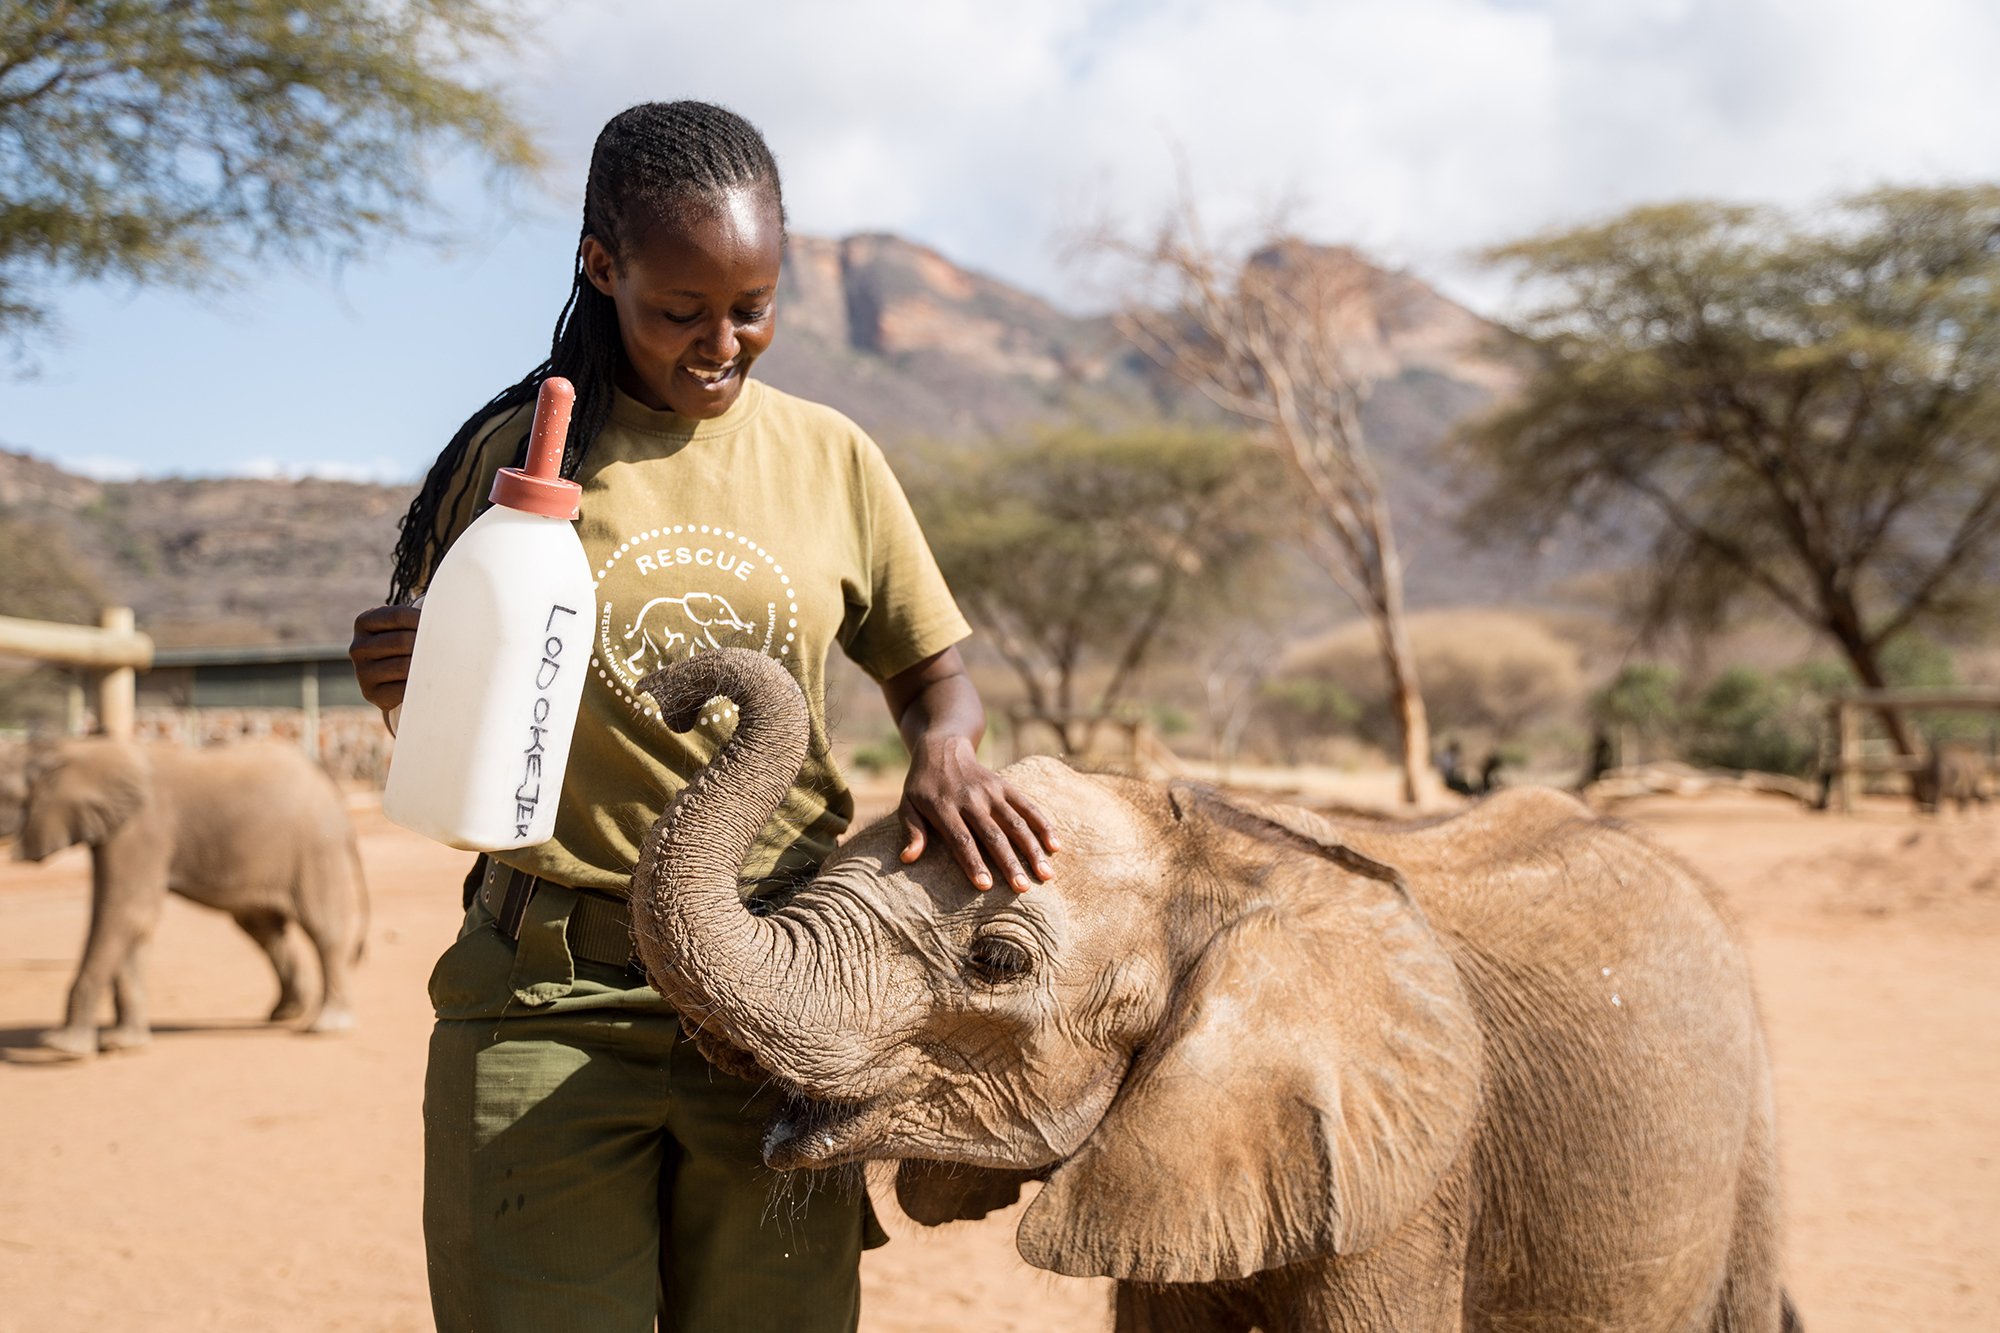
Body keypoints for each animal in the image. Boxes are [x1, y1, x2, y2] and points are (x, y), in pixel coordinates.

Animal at [15, 737, 368, 1059]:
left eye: (11, 797)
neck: (80, 749)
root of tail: (338, 803)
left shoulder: (142, 828)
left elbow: (129, 912)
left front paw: (62, 1048)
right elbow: (134, 921)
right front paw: (120, 1045)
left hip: (314, 850)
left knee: (321, 928)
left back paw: (325, 1026)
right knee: (262, 929)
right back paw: (285, 1013)